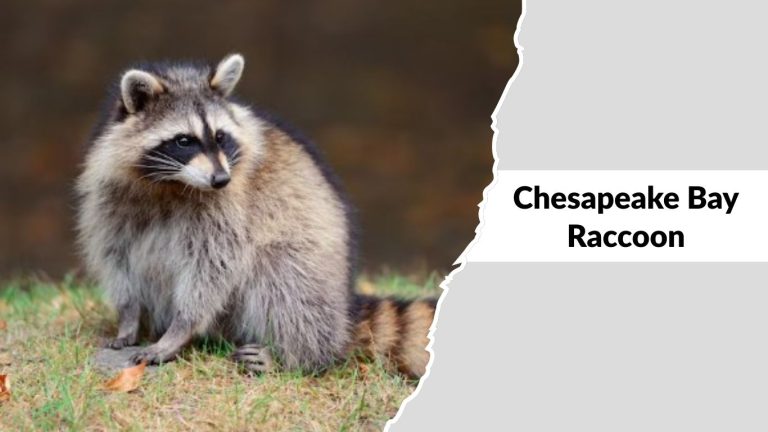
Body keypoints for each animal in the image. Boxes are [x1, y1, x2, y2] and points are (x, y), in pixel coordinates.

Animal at [76, 54, 436, 378]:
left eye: (220, 136)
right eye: (184, 140)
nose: (221, 179)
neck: (170, 183)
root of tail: (344, 310)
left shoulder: (228, 209)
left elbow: (212, 269)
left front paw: (180, 329)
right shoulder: (110, 199)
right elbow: (117, 257)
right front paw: (128, 317)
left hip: (313, 269)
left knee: (283, 279)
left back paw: (295, 356)